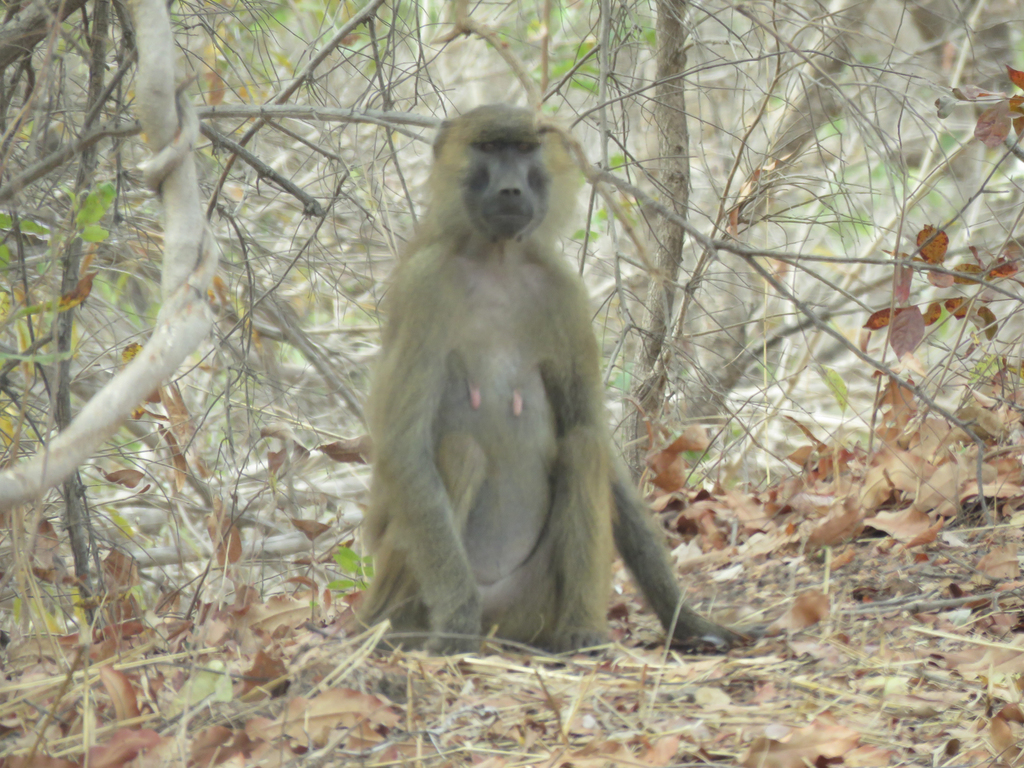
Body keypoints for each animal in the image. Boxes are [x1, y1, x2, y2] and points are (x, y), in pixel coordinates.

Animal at [360, 104, 740, 654]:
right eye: (489, 150)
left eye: (523, 151)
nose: (511, 190)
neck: (497, 258)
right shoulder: (422, 288)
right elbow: (404, 449)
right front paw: (455, 625)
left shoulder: (565, 293)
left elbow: (592, 436)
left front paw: (683, 617)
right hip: (401, 591)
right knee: (459, 451)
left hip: (530, 607)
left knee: (583, 447)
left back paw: (582, 633)